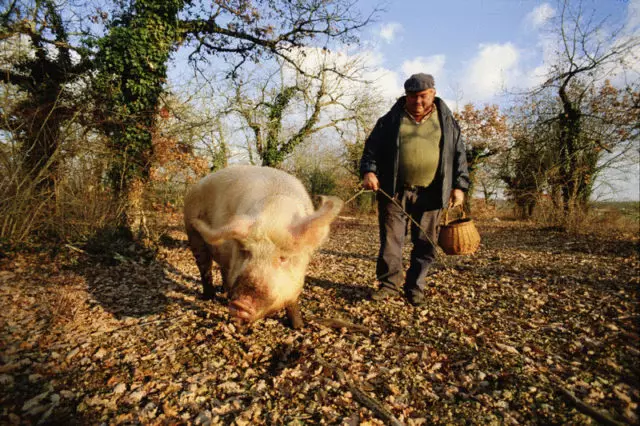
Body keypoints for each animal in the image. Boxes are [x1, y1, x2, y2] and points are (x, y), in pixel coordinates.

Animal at [184, 165, 344, 328]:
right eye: (247, 252)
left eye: (283, 258)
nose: (240, 304)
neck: (273, 216)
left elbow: (292, 302)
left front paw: (299, 327)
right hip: (192, 233)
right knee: (205, 268)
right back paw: (208, 297)